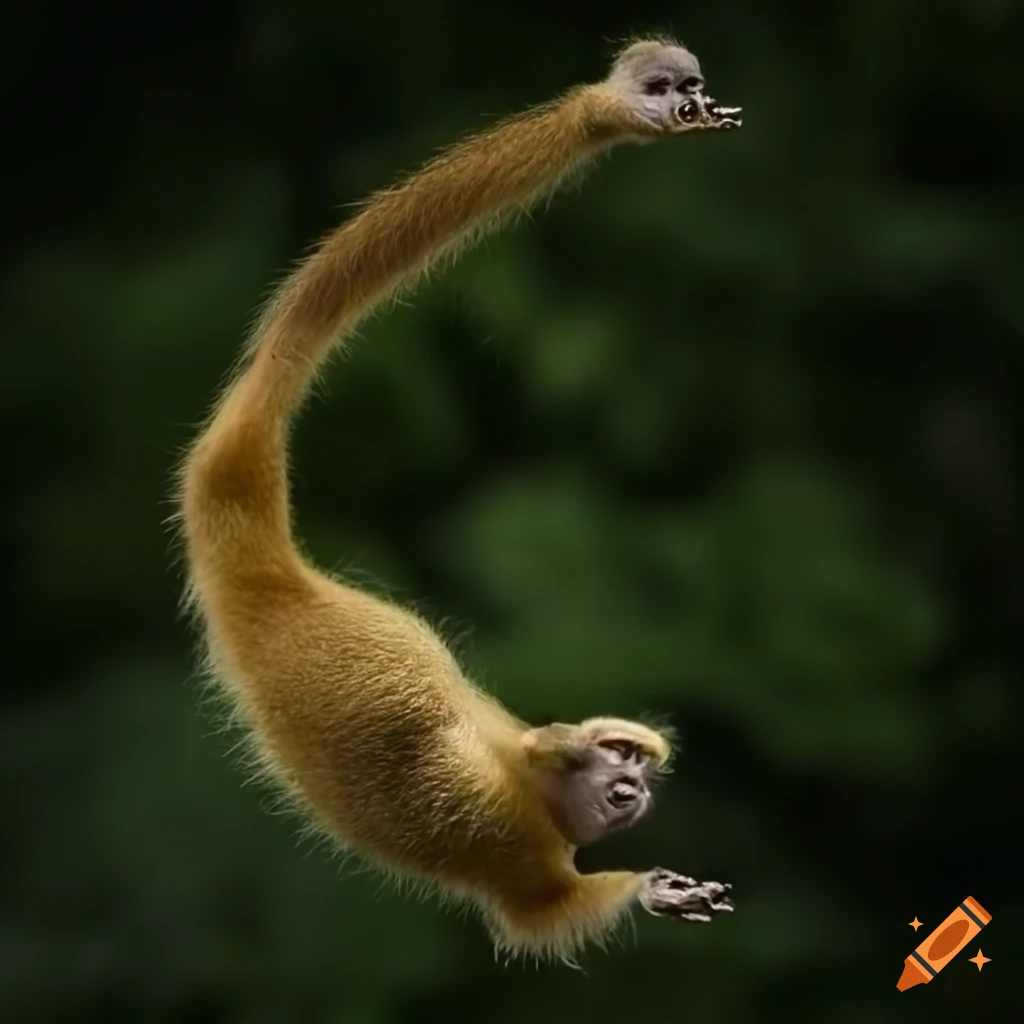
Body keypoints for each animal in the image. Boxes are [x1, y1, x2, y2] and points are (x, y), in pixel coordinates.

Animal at [178, 38, 741, 960]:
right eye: (624, 759)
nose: (637, 781)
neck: (536, 793)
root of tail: (270, 583)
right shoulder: (526, 839)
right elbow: (541, 909)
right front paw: (647, 889)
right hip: (345, 603)